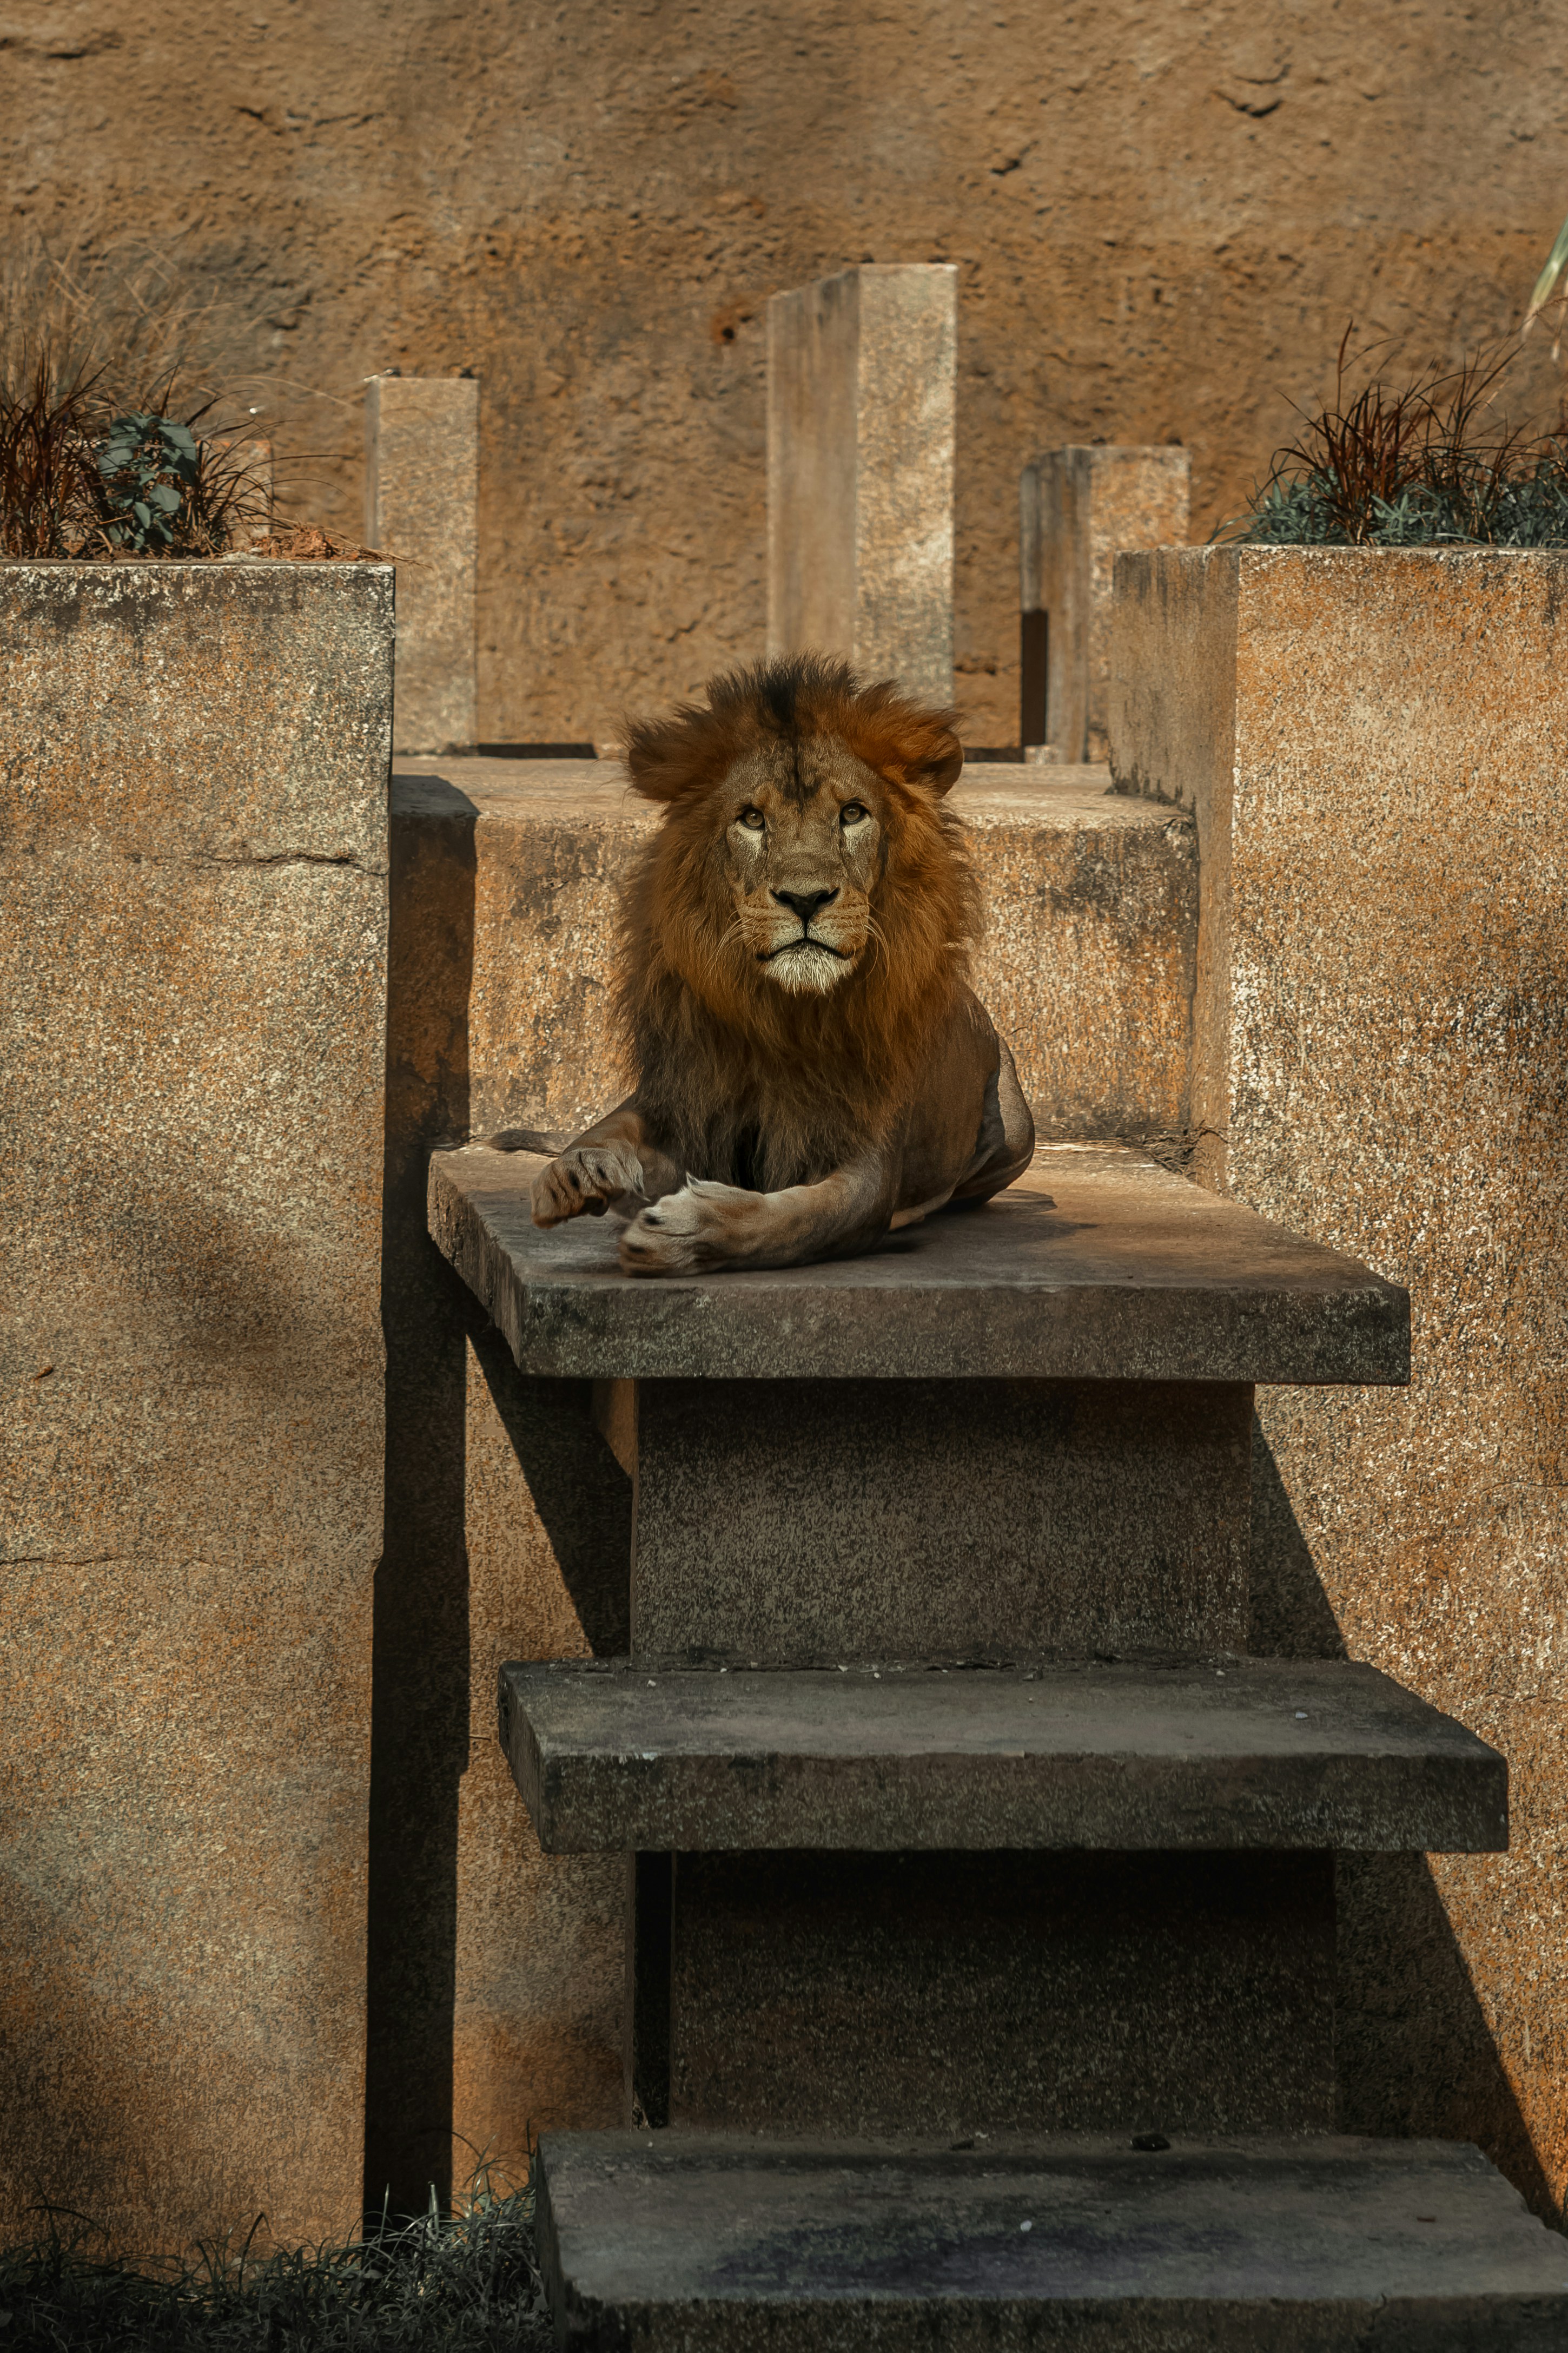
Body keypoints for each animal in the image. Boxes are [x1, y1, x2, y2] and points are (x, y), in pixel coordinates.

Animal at [529, 655, 1035, 1275]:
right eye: (751, 819)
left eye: (852, 814)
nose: (805, 898)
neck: (784, 1013)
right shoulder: (686, 1094)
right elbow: (612, 1124)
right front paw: (579, 1169)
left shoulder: (867, 1164)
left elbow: (791, 1220)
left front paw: (685, 1231)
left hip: (1017, 1129)